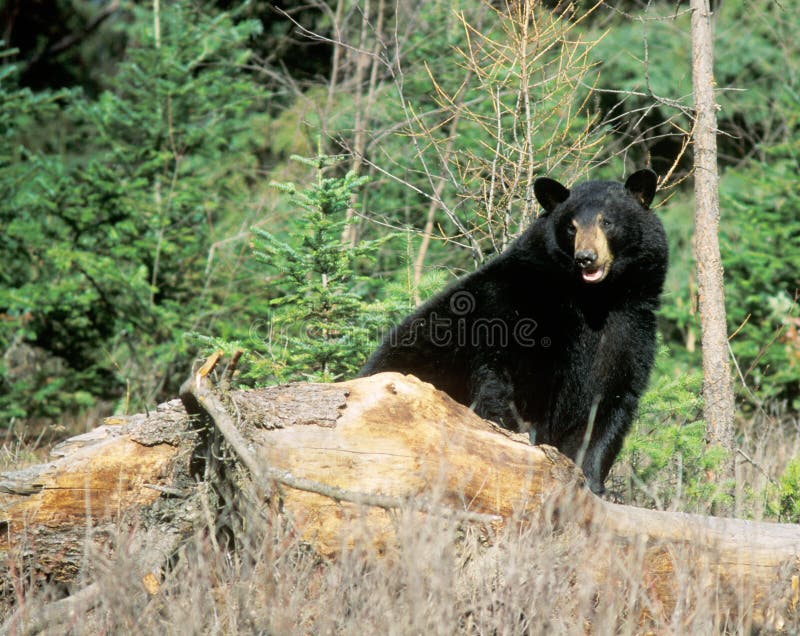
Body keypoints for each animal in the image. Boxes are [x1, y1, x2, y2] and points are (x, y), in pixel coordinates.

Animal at [358, 169, 668, 495]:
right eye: (570, 227)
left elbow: (610, 402)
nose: (586, 257)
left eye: (606, 221)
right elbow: (507, 384)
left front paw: (592, 483)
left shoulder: (628, 328)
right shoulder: (514, 316)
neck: (594, 300)